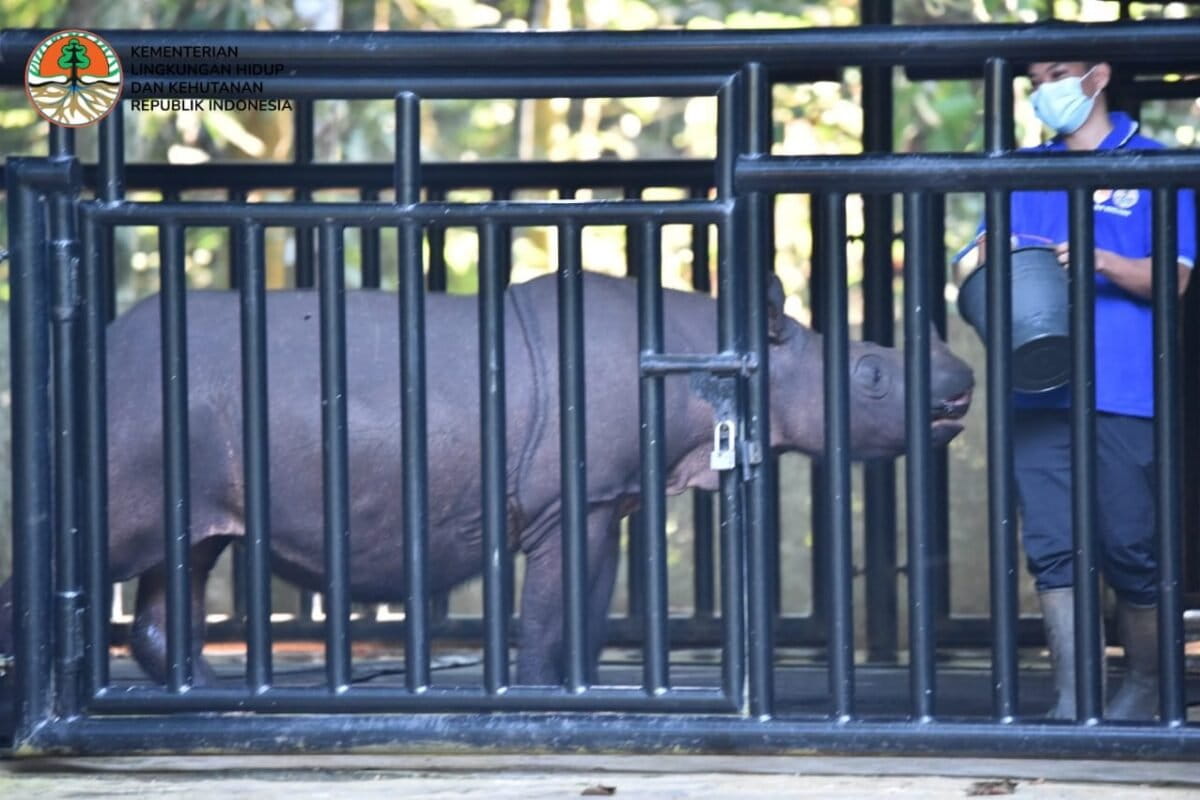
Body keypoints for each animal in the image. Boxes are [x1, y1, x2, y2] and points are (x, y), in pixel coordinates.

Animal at [0, 272, 973, 686]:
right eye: (871, 375)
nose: (961, 389)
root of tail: (102, 342)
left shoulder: (604, 496)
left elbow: (591, 601)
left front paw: (582, 689)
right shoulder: (567, 501)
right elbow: (548, 610)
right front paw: (541, 694)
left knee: (189, 552)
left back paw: (204, 690)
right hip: (135, 407)